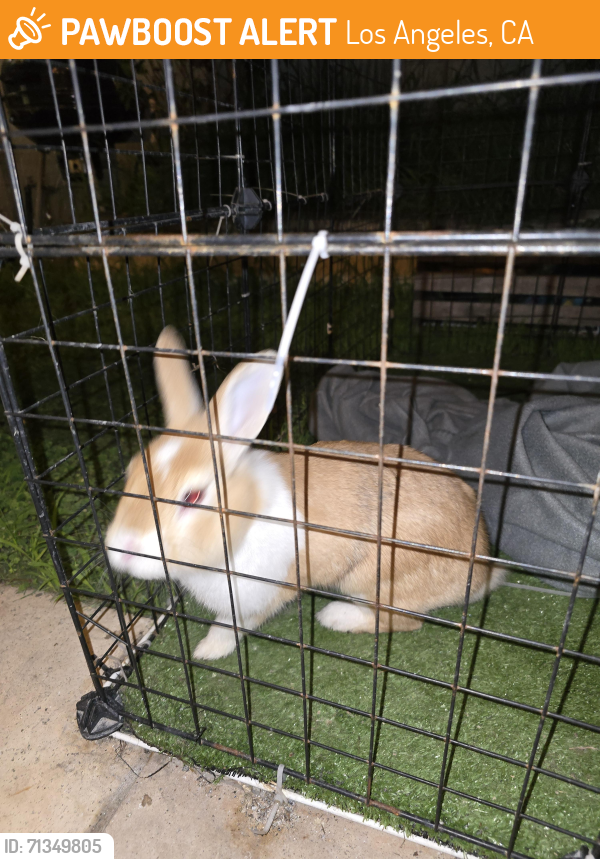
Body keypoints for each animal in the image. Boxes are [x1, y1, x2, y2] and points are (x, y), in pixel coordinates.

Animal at [106, 326, 504, 661]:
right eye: (131, 472)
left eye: (192, 497)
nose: (119, 550)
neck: (245, 520)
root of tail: (482, 569)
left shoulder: (257, 596)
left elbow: (229, 626)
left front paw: (207, 651)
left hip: (371, 580)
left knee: (404, 620)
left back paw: (335, 616)